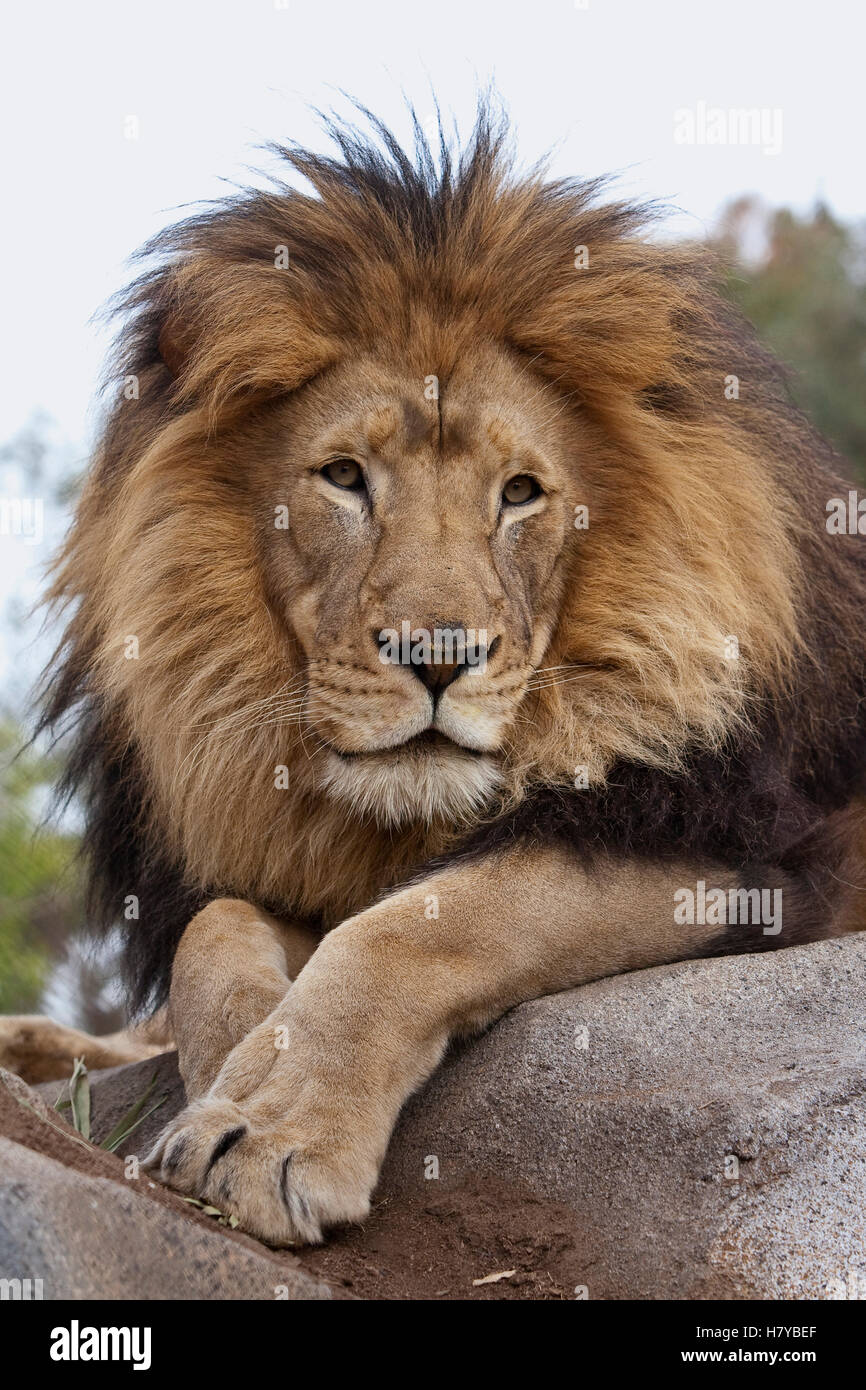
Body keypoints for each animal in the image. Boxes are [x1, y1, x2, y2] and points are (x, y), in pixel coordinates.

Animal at [6, 103, 866, 1245]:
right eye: (343, 478)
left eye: (521, 492)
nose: (438, 661)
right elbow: (215, 931)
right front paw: (244, 1061)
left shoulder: (746, 852)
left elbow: (427, 925)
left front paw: (269, 1123)